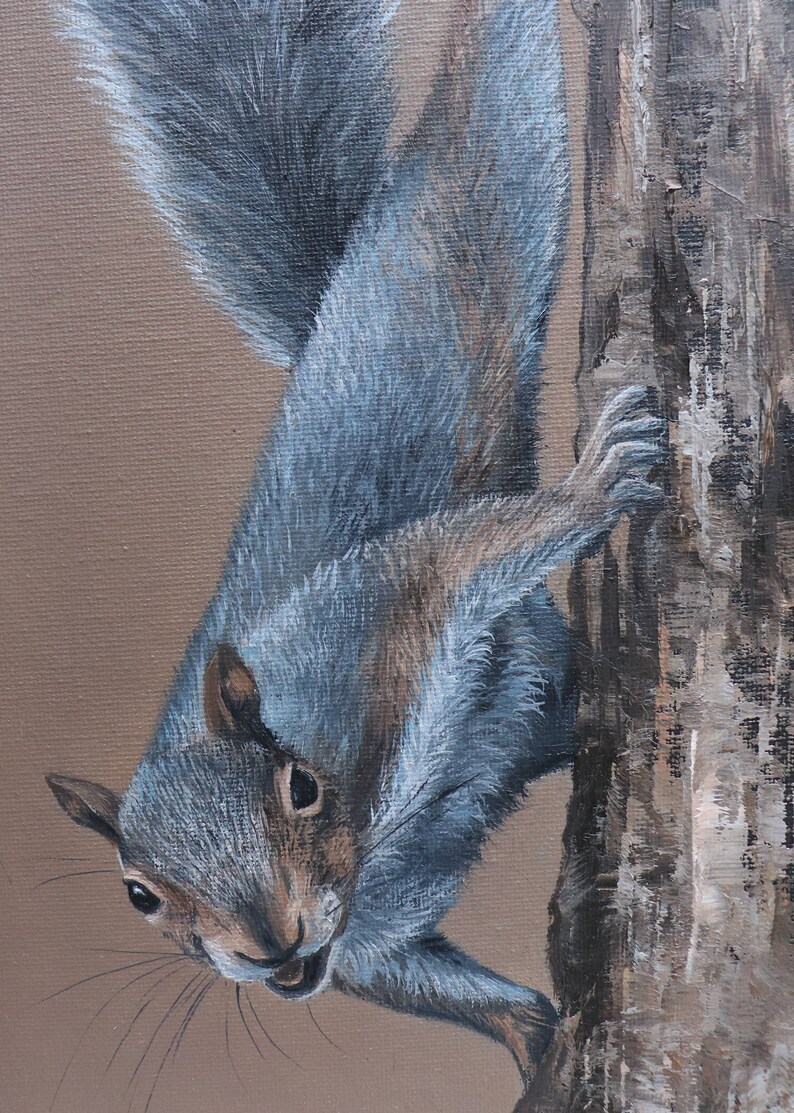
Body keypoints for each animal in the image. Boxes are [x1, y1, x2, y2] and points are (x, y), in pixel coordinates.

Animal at [46, 0, 665, 1090]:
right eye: (139, 896)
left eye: (299, 787)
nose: (271, 948)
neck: (369, 846)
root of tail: (339, 287)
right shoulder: (368, 941)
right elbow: (444, 989)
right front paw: (540, 1049)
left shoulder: (376, 616)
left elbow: (449, 559)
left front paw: (592, 485)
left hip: (467, 219)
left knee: (480, 110)